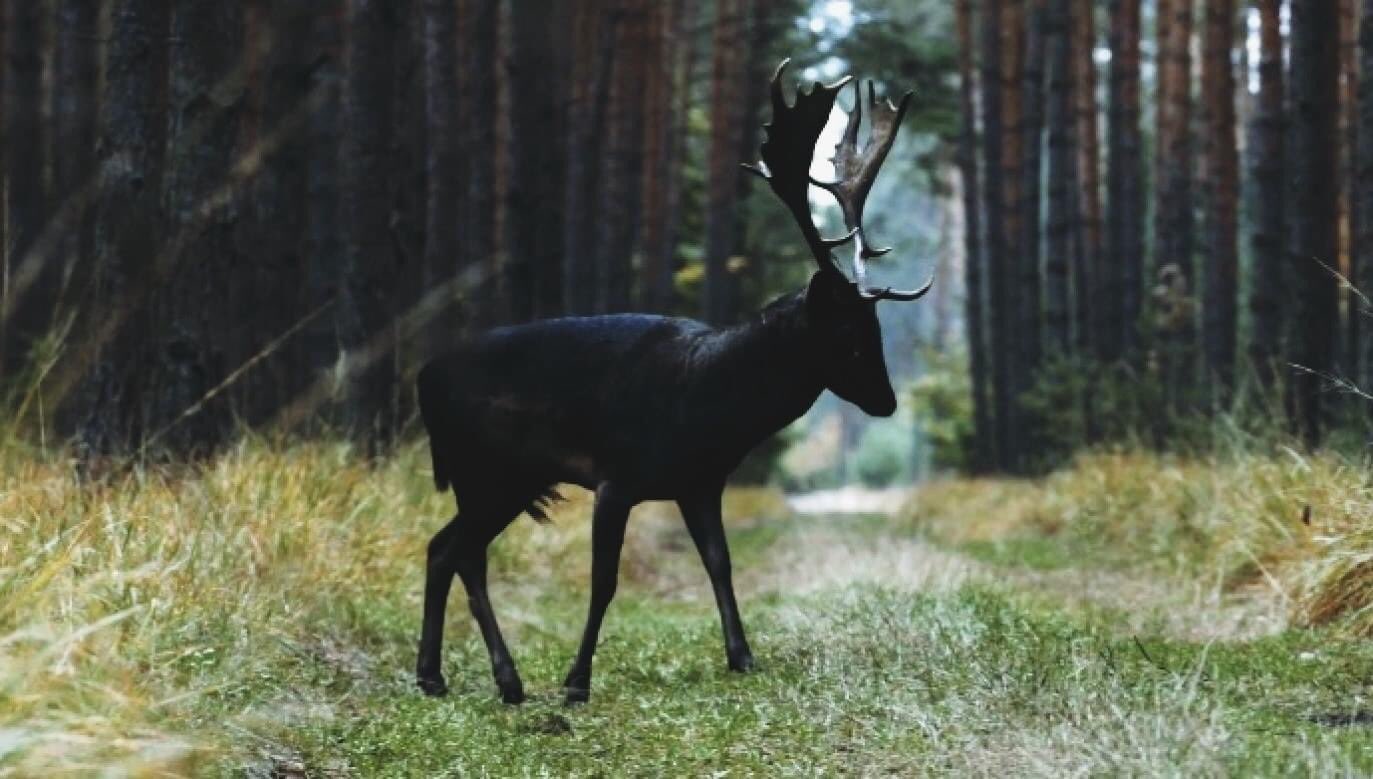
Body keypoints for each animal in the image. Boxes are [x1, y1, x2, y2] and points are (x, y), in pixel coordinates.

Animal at [415, 60, 930, 705]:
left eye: (877, 328)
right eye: (847, 333)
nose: (886, 401)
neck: (703, 407)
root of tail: (423, 379)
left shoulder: (700, 483)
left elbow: (720, 561)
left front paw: (742, 656)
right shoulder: (616, 475)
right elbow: (605, 580)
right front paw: (576, 681)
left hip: (502, 479)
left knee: (448, 549)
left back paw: (446, 676)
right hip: (486, 470)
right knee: (460, 551)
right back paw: (492, 679)